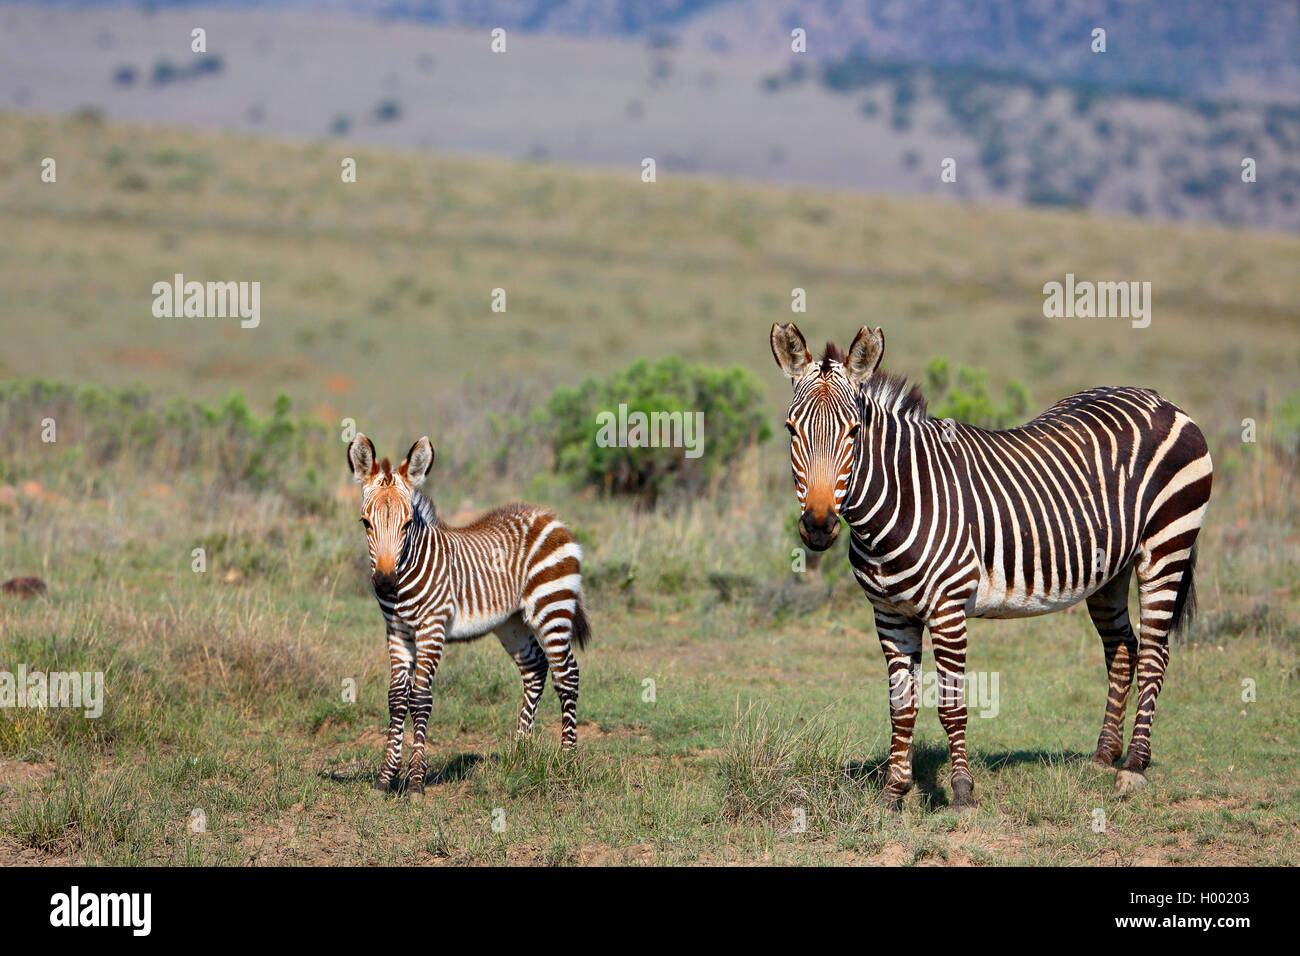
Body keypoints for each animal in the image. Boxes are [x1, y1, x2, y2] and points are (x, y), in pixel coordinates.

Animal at [346, 434, 590, 794]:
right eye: (366, 523)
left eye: (407, 524)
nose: (386, 584)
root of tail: (549, 516)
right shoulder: (397, 631)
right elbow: (396, 698)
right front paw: (386, 777)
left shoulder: (431, 629)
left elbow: (420, 698)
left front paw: (416, 780)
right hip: (511, 623)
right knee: (535, 669)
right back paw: (519, 751)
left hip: (551, 608)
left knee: (567, 674)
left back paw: (567, 760)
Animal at [770, 323, 1212, 809]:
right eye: (791, 429)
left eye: (853, 432)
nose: (818, 526)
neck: (895, 506)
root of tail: (1159, 398)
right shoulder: (889, 614)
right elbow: (901, 706)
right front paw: (893, 792)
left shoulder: (947, 610)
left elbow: (951, 705)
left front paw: (962, 790)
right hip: (1110, 569)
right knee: (1121, 648)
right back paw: (1103, 756)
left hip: (1166, 546)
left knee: (1154, 653)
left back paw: (1133, 767)